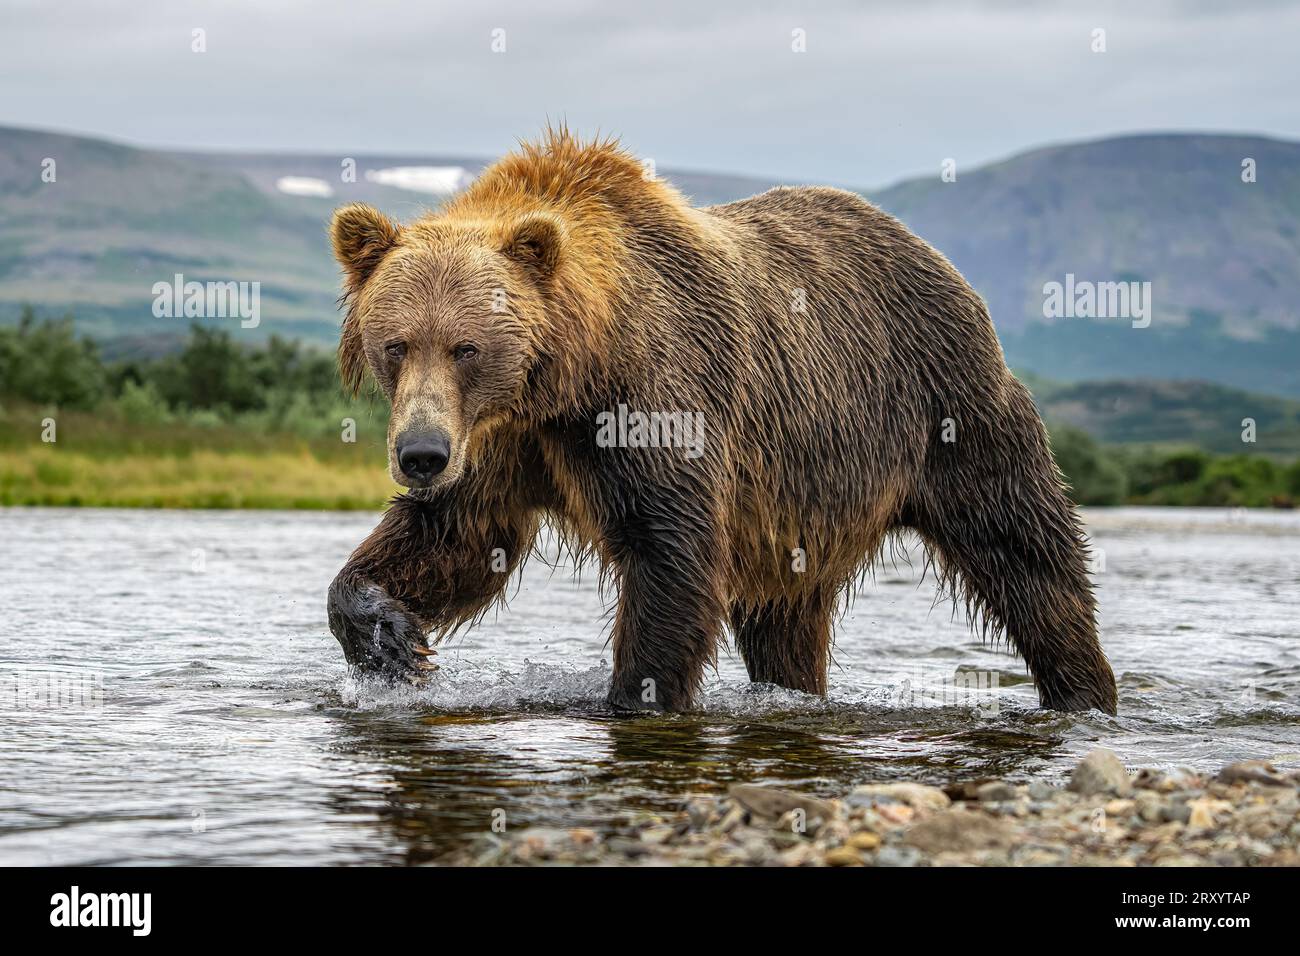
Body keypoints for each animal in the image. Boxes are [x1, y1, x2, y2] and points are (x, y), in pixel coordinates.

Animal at [325, 127, 1118, 715]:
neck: (569, 370)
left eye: (467, 346)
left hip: (949, 414)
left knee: (1026, 554)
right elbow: (457, 536)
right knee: (788, 616)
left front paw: (632, 697)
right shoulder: (506, 440)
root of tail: (942, 263)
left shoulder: (650, 404)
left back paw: (1084, 691)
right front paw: (391, 639)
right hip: (802, 505)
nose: (420, 455)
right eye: (396, 343)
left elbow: (669, 551)